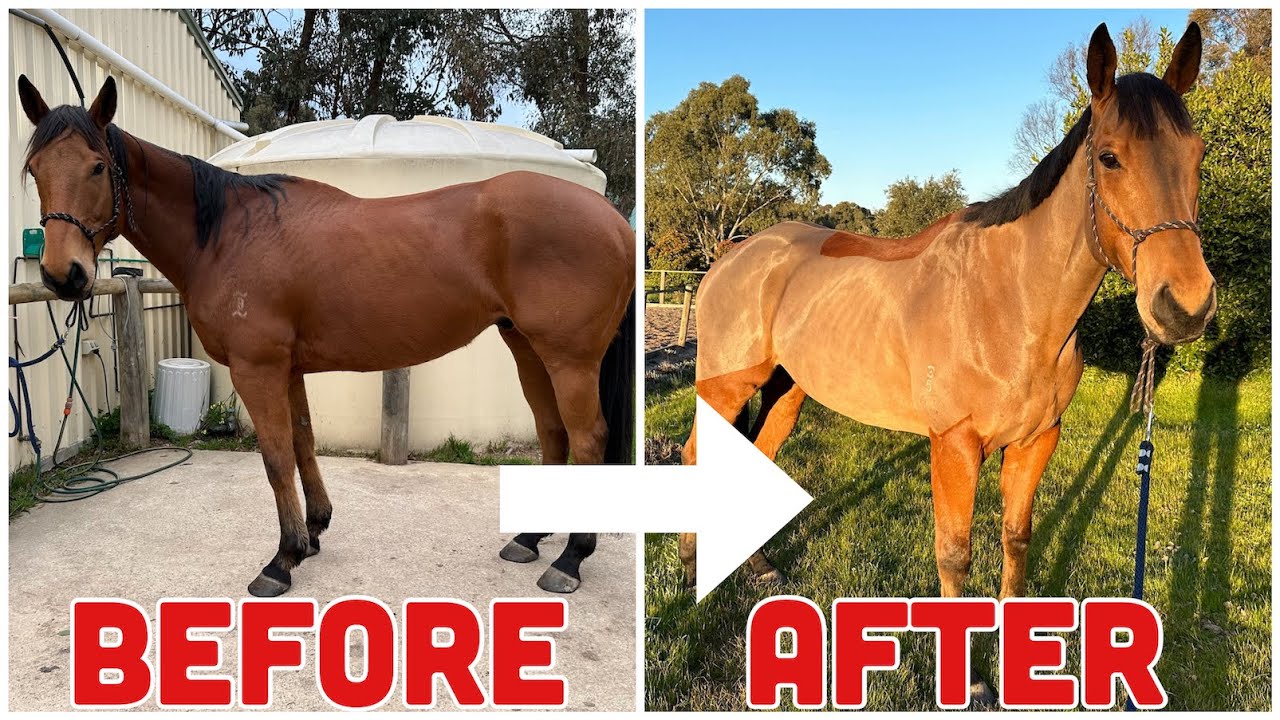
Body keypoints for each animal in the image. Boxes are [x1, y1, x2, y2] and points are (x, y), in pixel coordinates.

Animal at [18, 75, 635, 597]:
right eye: (35, 169)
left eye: (98, 166)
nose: (64, 275)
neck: (228, 233)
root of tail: (613, 219)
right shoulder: (288, 369)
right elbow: (303, 443)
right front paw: (312, 533)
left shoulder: (258, 368)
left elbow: (275, 458)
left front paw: (281, 560)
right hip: (527, 348)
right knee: (553, 434)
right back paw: (530, 539)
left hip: (570, 359)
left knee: (587, 439)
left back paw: (570, 559)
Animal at [679, 22, 1214, 702]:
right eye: (1109, 158)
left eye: (1197, 153)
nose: (1185, 305)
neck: (1009, 303)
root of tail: (733, 253)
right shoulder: (954, 445)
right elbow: (955, 555)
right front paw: (971, 681)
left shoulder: (1038, 440)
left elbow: (1016, 541)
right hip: (723, 387)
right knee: (695, 456)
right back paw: (695, 568)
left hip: (786, 391)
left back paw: (759, 568)